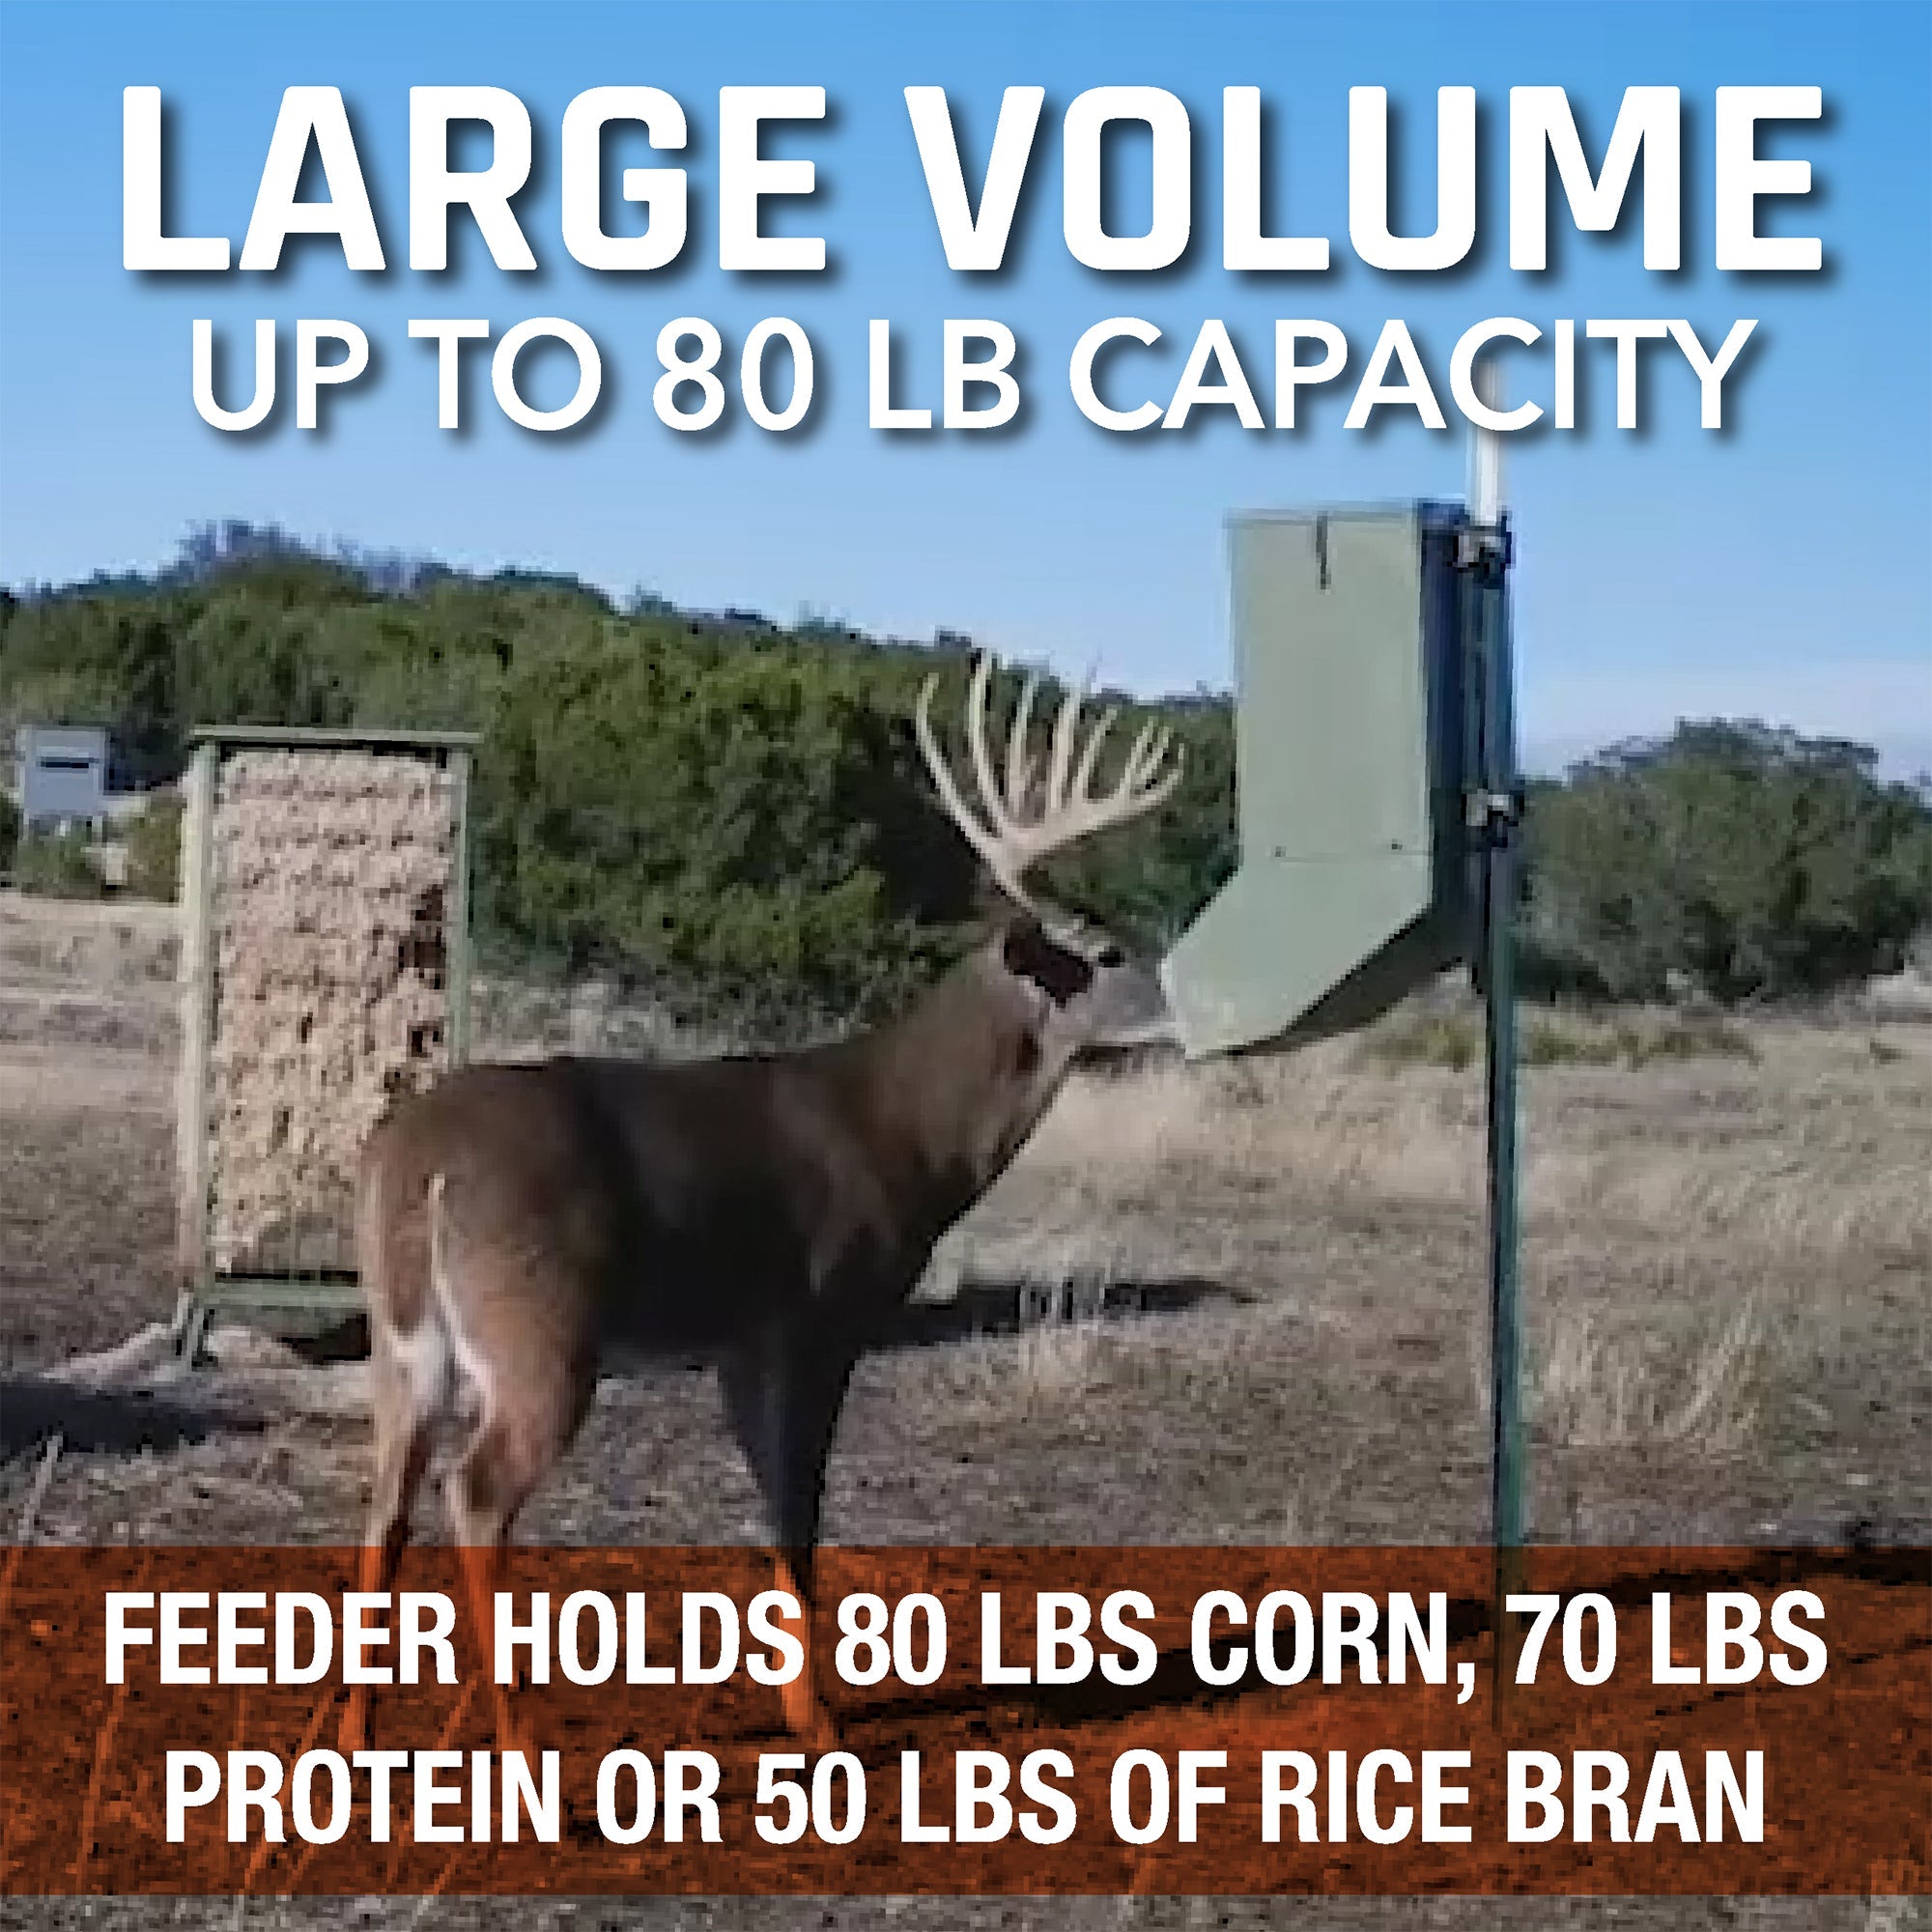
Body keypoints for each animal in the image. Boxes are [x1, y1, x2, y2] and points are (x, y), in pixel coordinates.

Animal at [342, 656, 1184, 1752]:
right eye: (1113, 954)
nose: (1190, 1001)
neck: (905, 1131)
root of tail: (415, 1163)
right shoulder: (815, 1317)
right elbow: (800, 1511)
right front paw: (819, 1725)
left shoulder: (742, 1342)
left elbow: (771, 1512)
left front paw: (795, 1705)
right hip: (540, 1325)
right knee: (474, 1491)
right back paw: (515, 1739)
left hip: (402, 1341)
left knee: (389, 1497)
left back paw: (354, 1736)